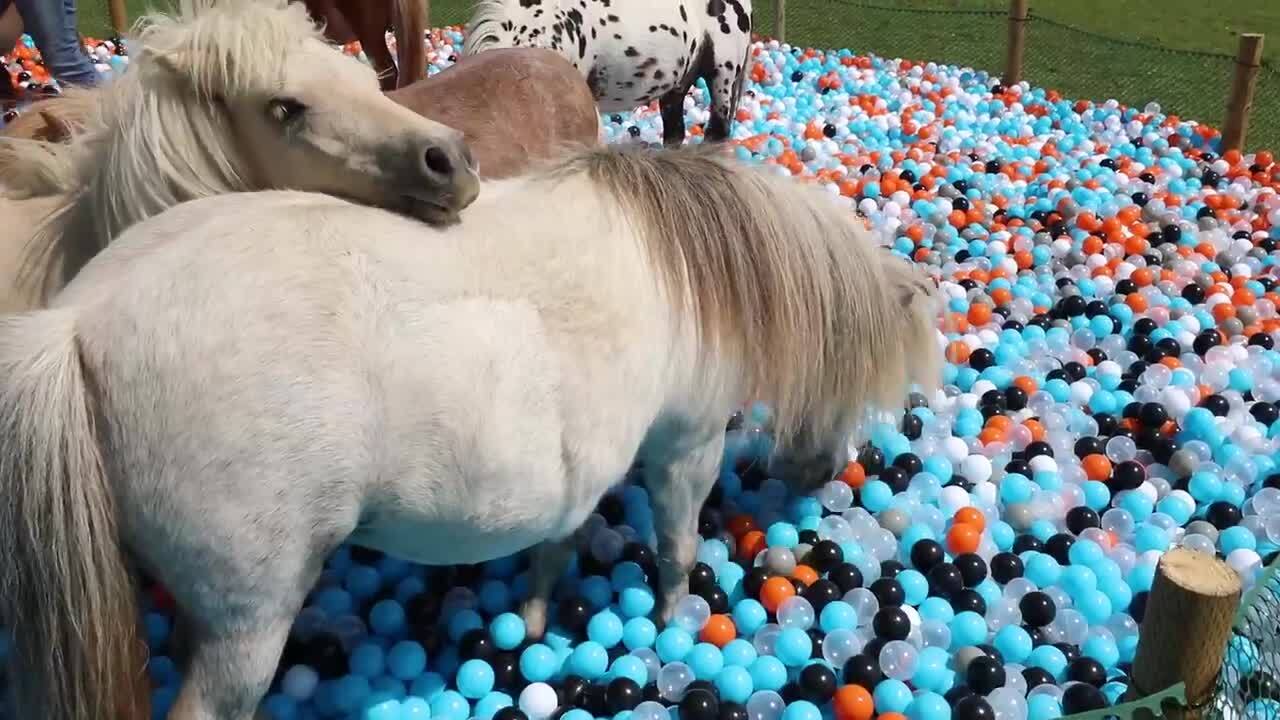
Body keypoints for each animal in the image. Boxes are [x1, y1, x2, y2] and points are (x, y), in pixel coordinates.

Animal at [0, 144, 943, 720]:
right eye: (874, 385)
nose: (827, 477)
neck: (691, 258)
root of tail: (82, 319)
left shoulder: (579, 469)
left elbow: (556, 546)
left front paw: (531, 619)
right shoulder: (688, 443)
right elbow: (676, 548)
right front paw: (673, 621)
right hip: (247, 622)